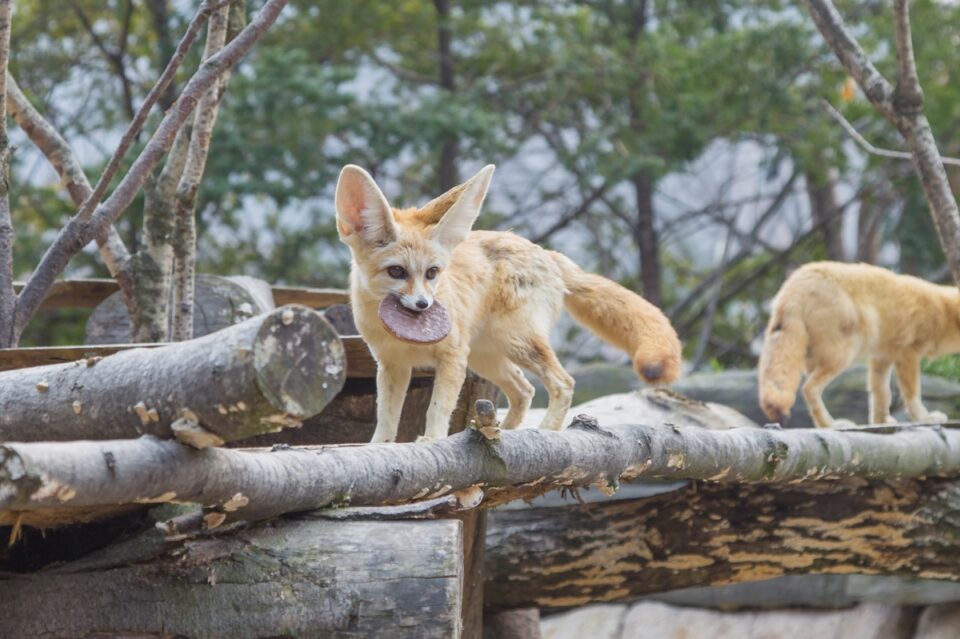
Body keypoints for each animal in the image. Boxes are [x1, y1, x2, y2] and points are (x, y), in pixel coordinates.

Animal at [335, 163, 683, 442]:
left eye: (432, 273)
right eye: (397, 272)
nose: (423, 305)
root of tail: (546, 252)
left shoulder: (452, 358)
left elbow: (437, 409)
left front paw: (431, 441)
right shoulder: (392, 365)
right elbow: (386, 417)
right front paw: (379, 447)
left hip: (514, 342)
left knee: (563, 383)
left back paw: (544, 432)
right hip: (487, 357)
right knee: (525, 390)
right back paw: (501, 433)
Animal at [758, 261, 960, 429]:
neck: (943, 312)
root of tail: (794, 287)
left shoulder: (882, 357)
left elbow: (881, 394)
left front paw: (880, 422)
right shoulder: (908, 354)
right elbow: (912, 394)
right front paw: (924, 418)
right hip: (843, 355)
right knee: (809, 389)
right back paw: (831, 425)